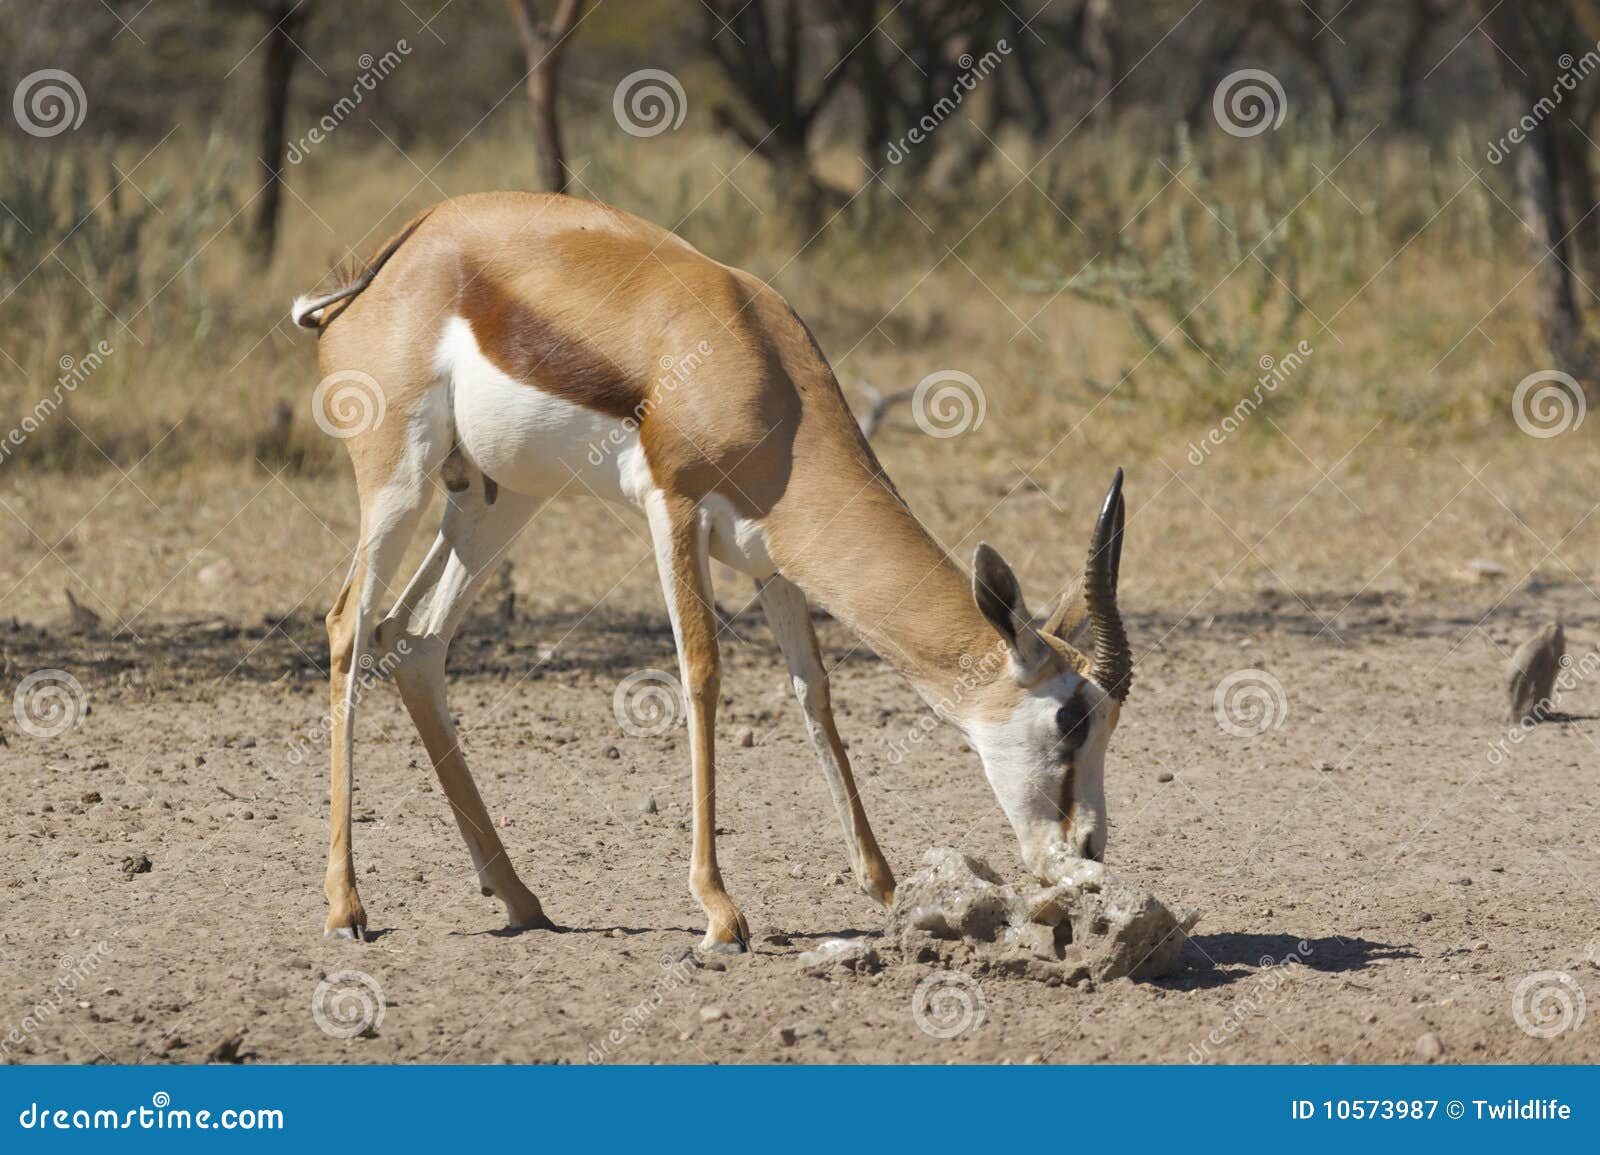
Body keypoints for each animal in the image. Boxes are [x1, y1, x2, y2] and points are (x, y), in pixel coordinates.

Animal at [291, 192, 1131, 950]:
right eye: (1071, 718)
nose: (1089, 849)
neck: (761, 373)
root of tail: (387, 262)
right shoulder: (674, 508)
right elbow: (701, 672)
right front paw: (722, 912)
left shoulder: (774, 561)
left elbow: (814, 691)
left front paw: (890, 890)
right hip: (399, 481)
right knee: (348, 626)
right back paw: (345, 907)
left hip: (497, 498)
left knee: (414, 639)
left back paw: (521, 898)